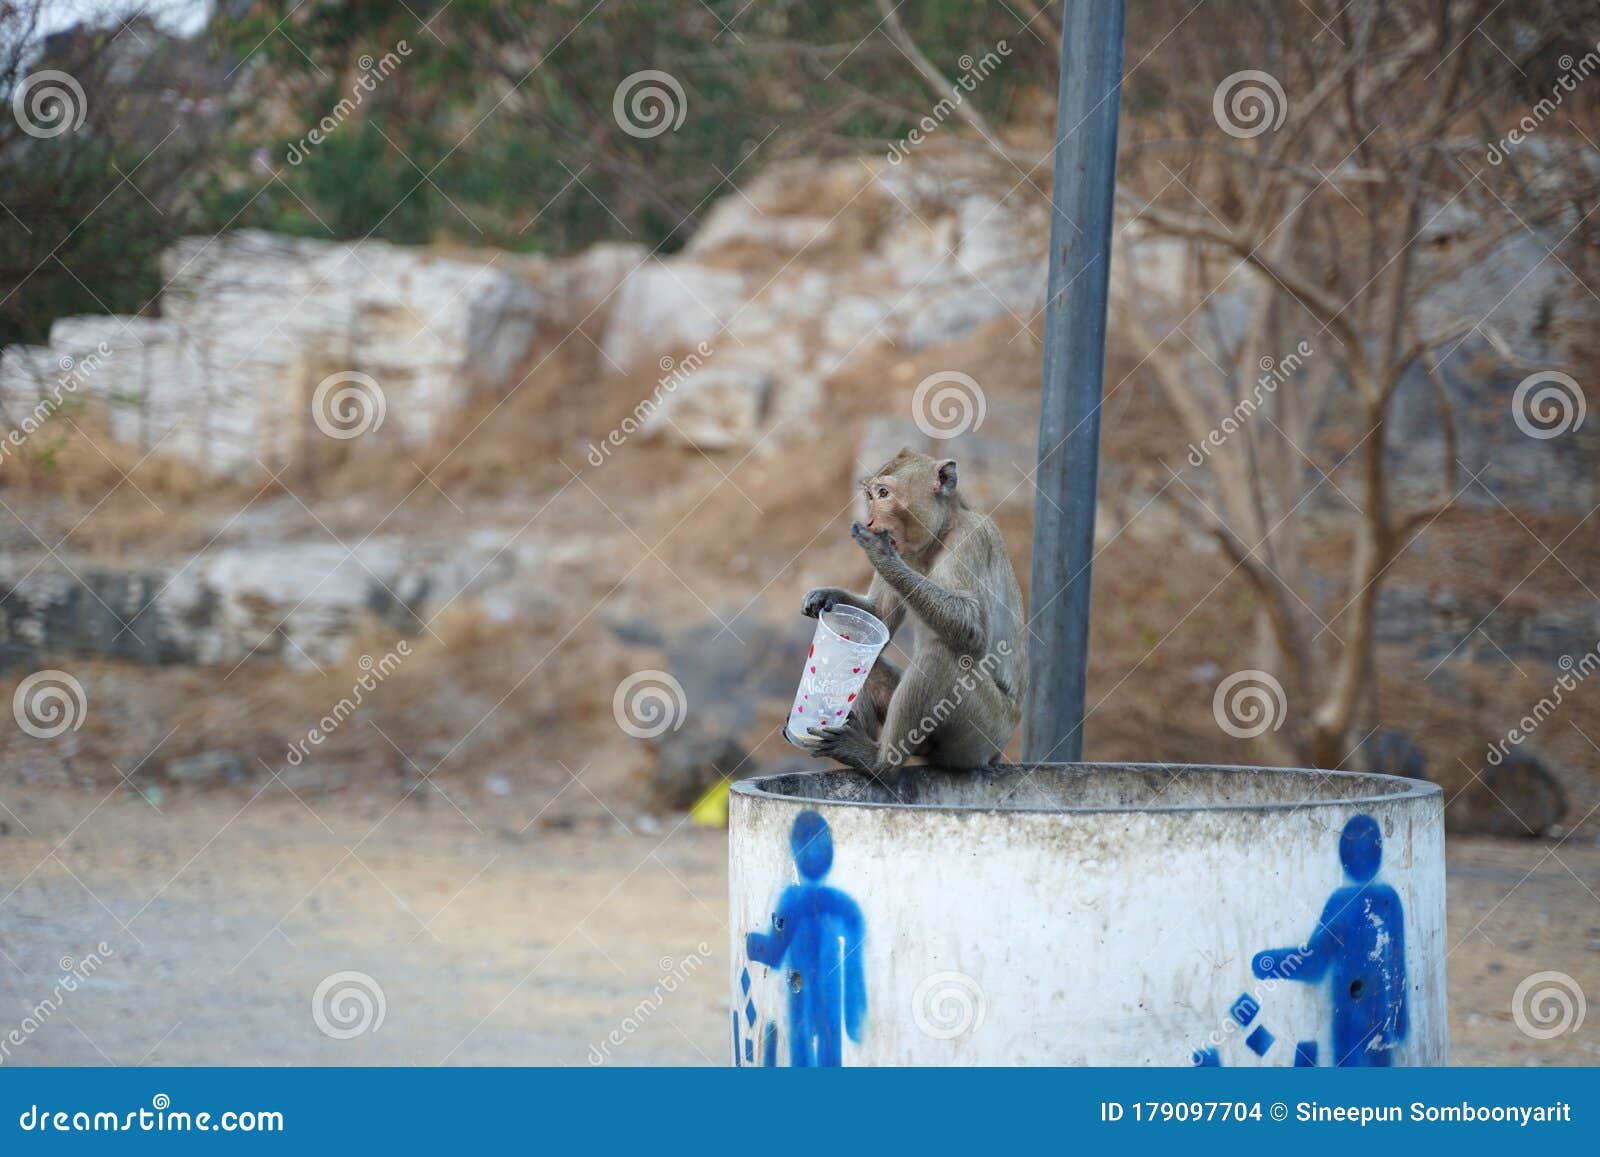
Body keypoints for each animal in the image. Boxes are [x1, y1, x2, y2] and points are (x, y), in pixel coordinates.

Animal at [799, 447, 1026, 776]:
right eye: (870, 495)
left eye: (884, 494)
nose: (870, 521)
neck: (940, 534)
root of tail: (997, 750)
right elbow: (878, 617)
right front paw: (826, 596)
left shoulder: (970, 539)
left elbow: (972, 627)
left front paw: (881, 554)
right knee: (865, 657)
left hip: (984, 732)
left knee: (942, 657)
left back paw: (880, 763)